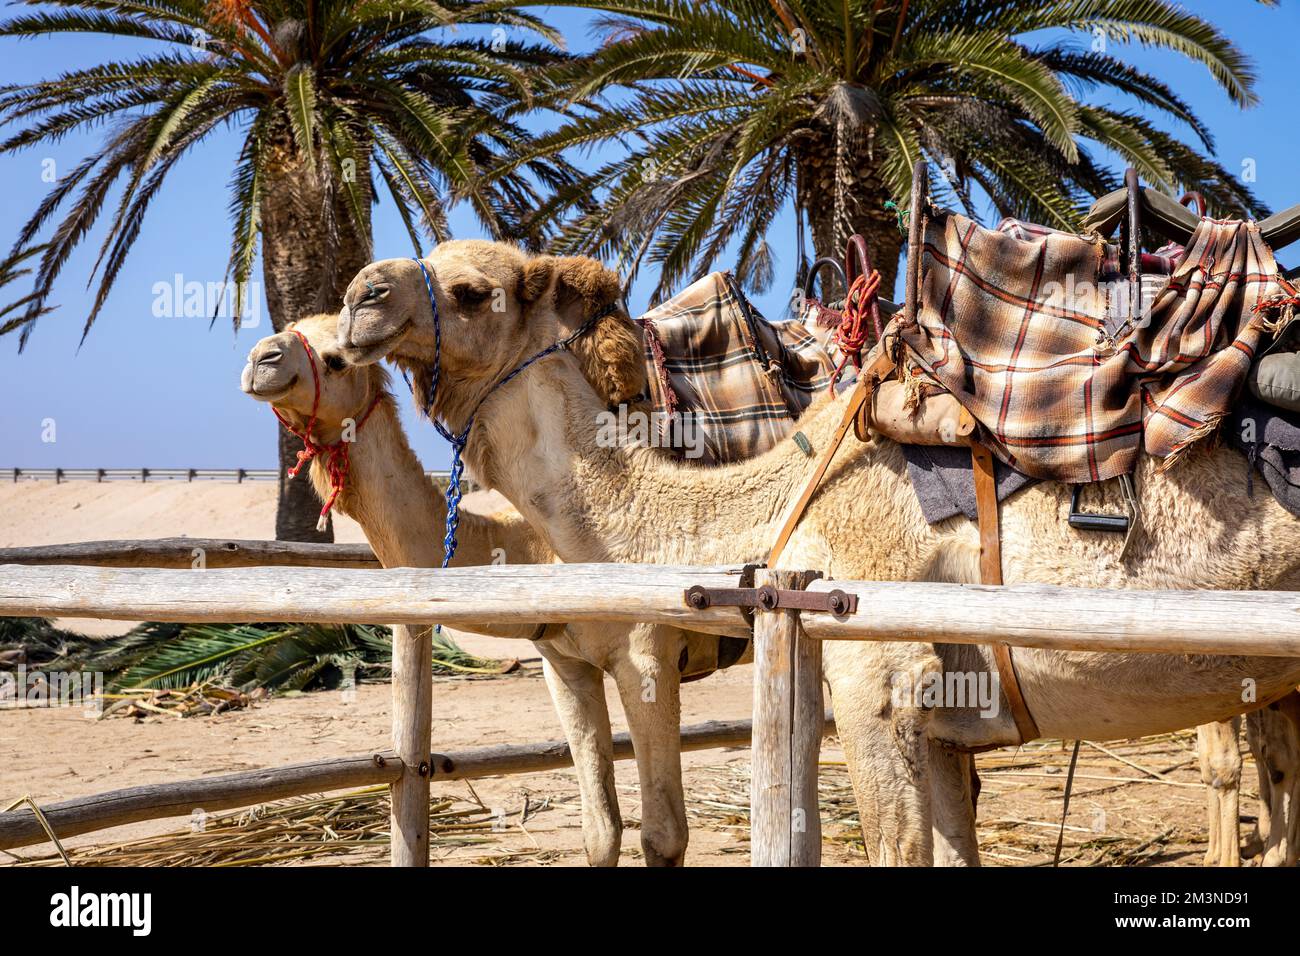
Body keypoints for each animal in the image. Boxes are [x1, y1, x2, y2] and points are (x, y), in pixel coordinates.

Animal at [240, 313, 718, 866]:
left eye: (336, 359)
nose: (261, 358)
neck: (532, 543)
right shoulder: (564, 661)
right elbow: (601, 831)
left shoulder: (649, 658)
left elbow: (664, 836)